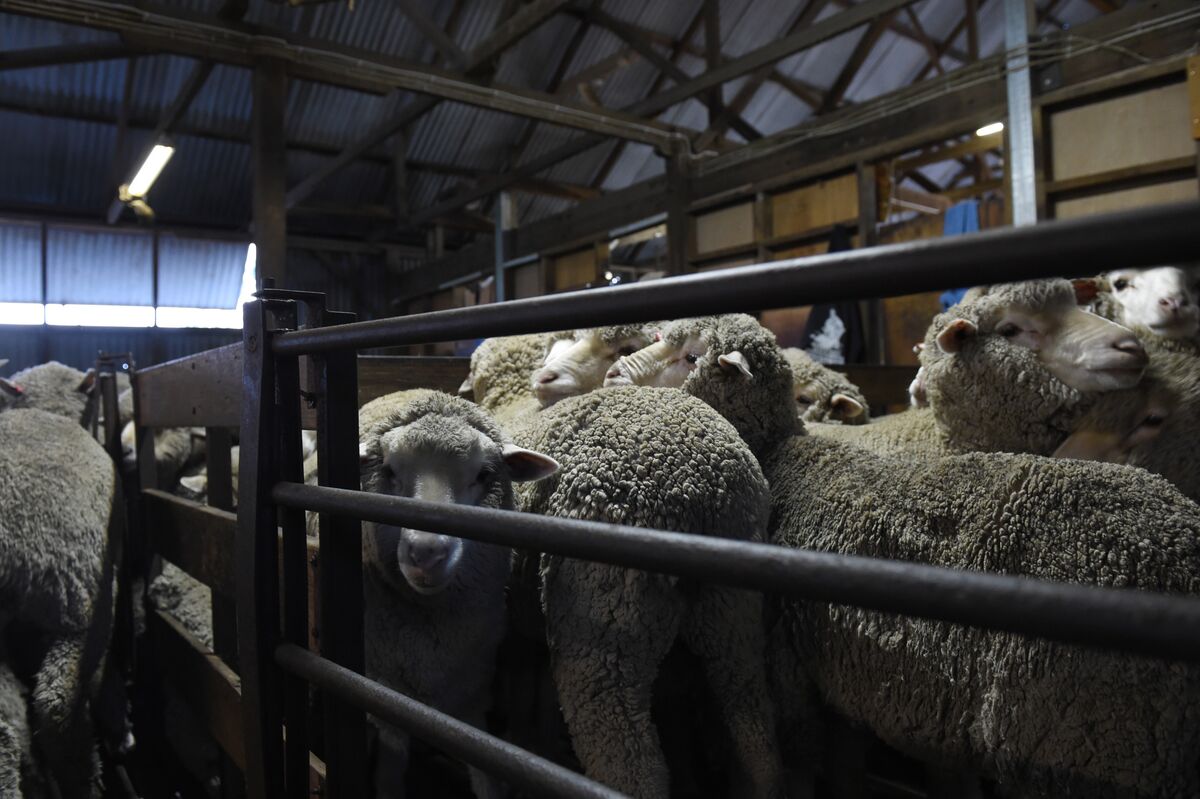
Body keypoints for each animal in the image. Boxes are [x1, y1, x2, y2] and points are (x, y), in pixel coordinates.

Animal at [342, 389, 558, 798]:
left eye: (484, 475)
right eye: (389, 471)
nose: (426, 552)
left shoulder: (471, 692)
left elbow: (486, 773)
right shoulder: (384, 696)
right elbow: (390, 774)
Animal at [608, 313, 1200, 797]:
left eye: (690, 355)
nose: (613, 375)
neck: (780, 454)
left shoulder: (789, 678)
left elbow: (798, 768)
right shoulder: (841, 682)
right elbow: (845, 767)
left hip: (1094, 744)